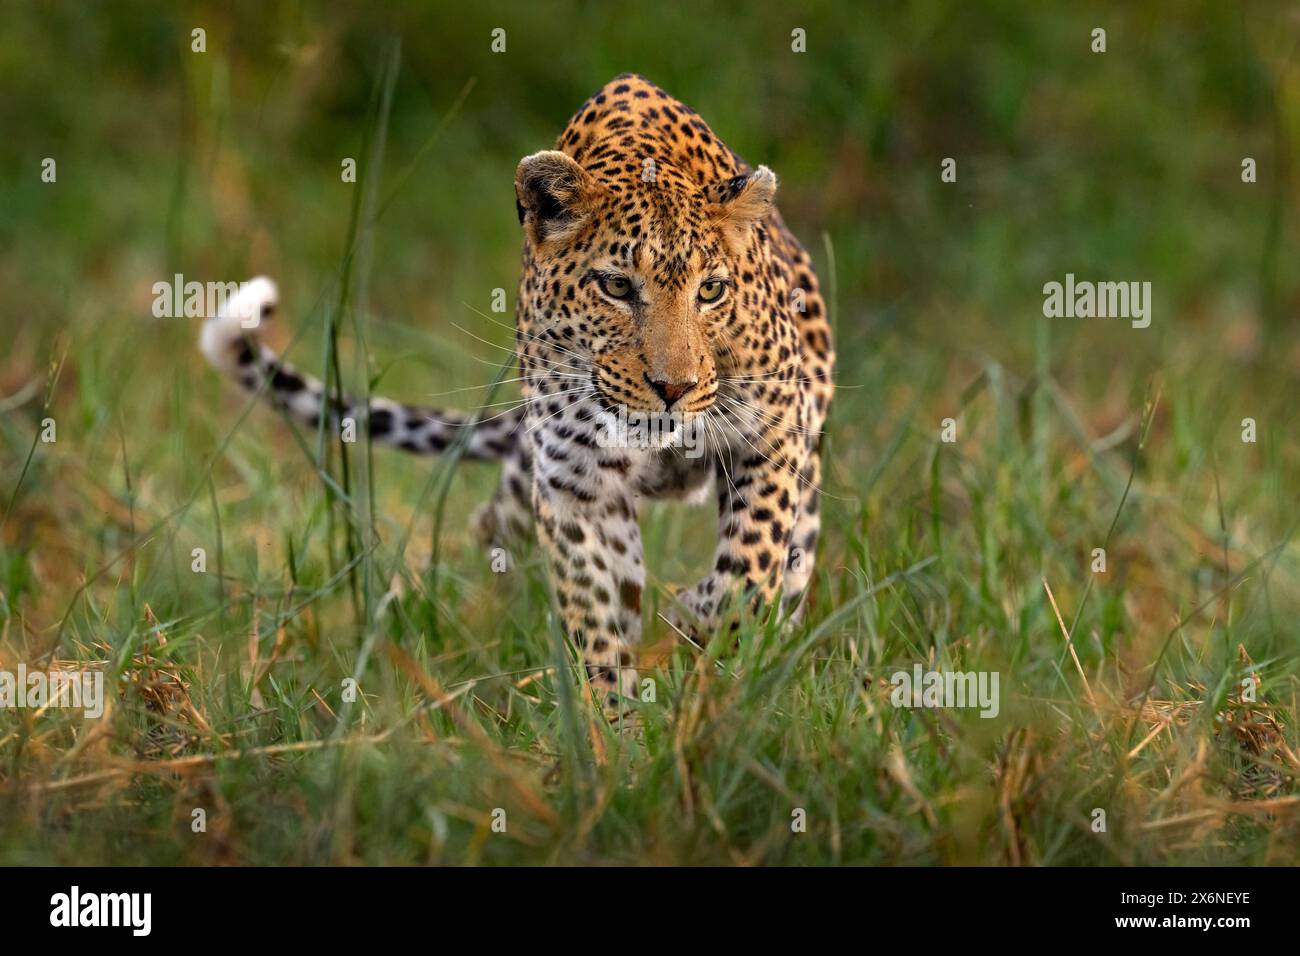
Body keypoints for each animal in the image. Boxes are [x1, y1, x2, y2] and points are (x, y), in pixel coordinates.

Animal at [199, 73, 835, 718]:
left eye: (710, 290)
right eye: (616, 286)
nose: (673, 388)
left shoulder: (773, 435)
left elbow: (749, 569)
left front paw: (697, 620)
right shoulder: (576, 485)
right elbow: (595, 610)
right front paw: (613, 722)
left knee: (791, 562)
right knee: (496, 524)